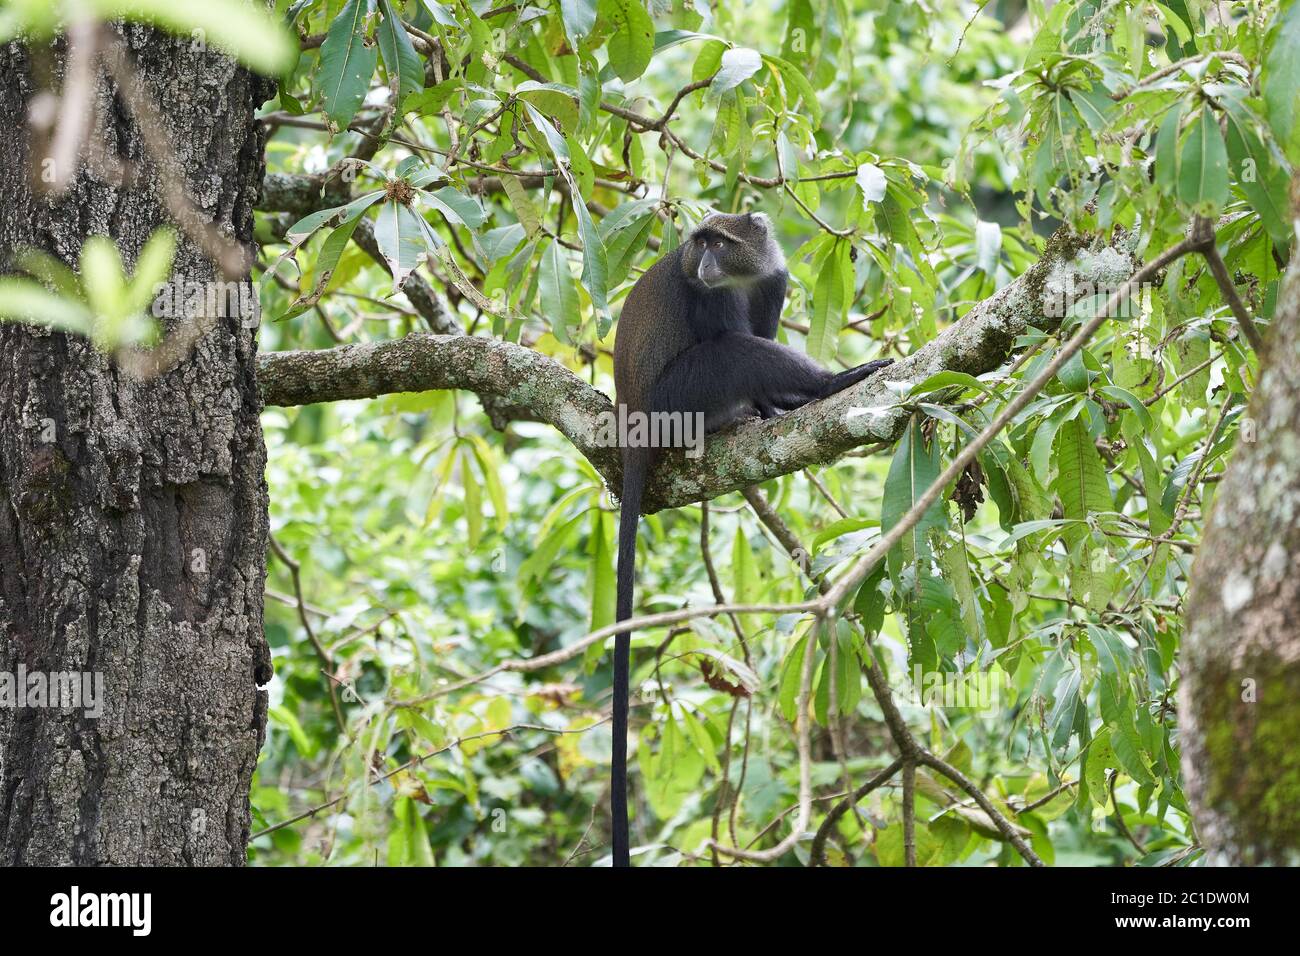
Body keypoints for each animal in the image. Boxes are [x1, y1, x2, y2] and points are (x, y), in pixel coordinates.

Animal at [608, 211, 892, 866]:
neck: (736, 279)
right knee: (731, 354)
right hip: (675, 401)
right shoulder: (706, 299)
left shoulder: (773, 282)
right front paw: (806, 390)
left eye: (721, 242)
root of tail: (634, 425)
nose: (706, 263)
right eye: (700, 244)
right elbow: (739, 341)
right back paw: (827, 386)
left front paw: (774, 406)